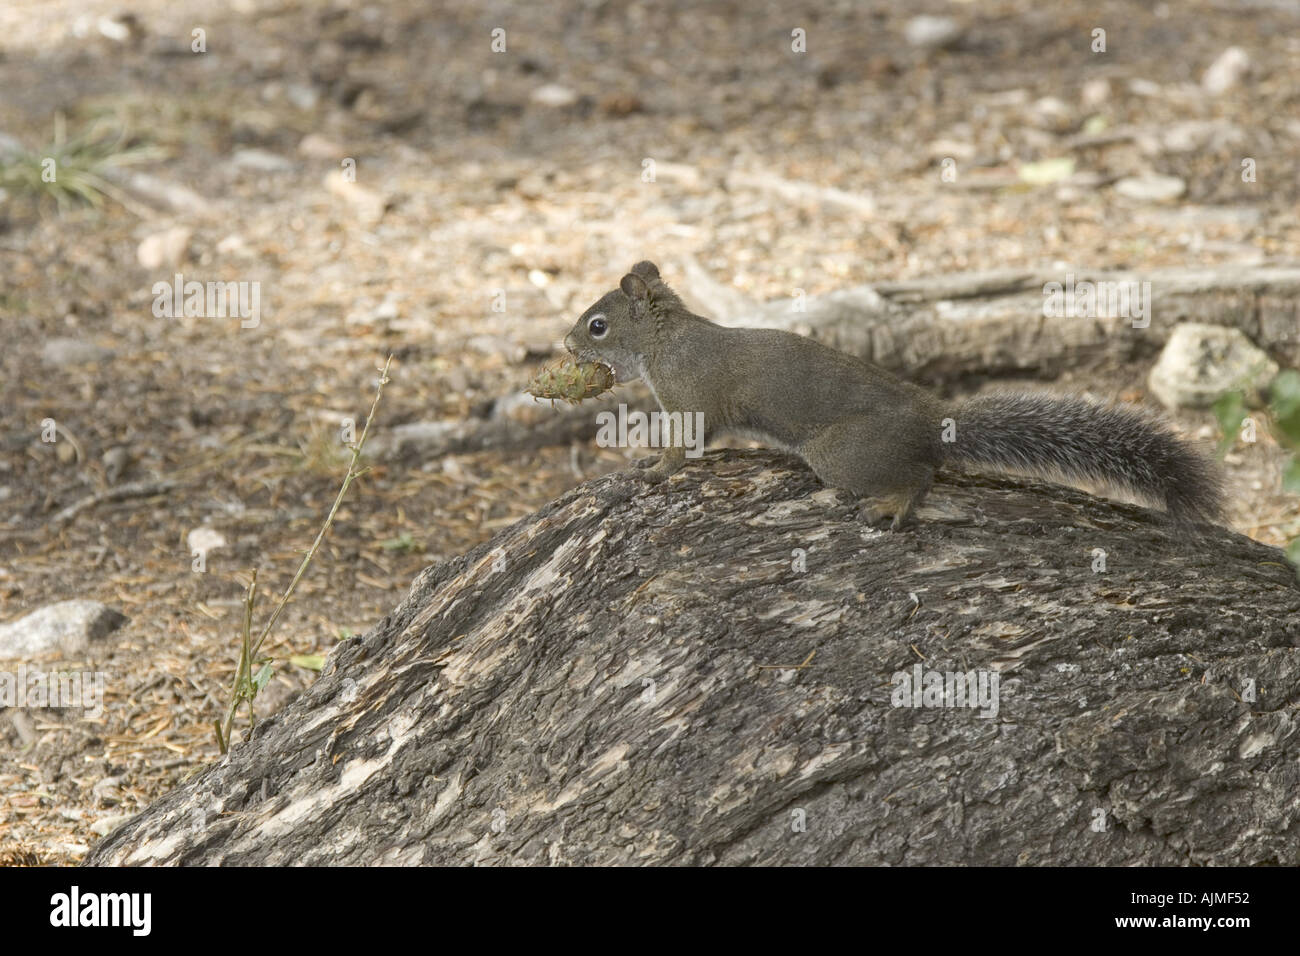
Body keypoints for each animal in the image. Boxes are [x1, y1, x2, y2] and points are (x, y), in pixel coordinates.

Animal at [564, 261, 1224, 530]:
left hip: (842, 454)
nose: (567, 344)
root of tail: (935, 423)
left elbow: (682, 448)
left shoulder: (688, 396)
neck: (666, 338)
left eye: (597, 325)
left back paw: (891, 507)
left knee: (919, 477)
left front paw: (652, 469)